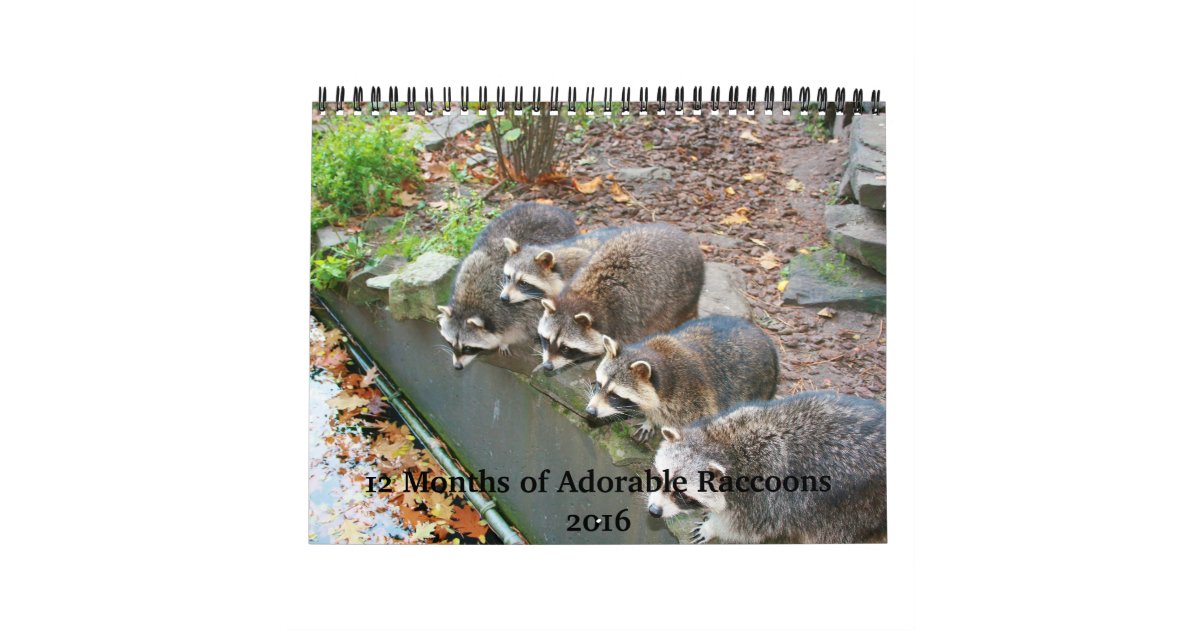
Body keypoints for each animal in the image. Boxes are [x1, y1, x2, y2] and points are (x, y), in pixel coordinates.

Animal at [436, 202, 577, 370]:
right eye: (450, 343)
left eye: (468, 348)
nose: (457, 367)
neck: (469, 305)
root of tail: (548, 206)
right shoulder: (468, 269)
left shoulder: (520, 309)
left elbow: (524, 325)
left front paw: (506, 341)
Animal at [537, 224, 704, 372]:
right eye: (546, 340)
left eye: (566, 348)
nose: (547, 366)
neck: (584, 298)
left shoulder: (626, 319)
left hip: (681, 294)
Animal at [585, 316, 779, 442]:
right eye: (599, 384)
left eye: (615, 395)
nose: (590, 411)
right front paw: (650, 420)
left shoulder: (695, 401)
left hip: (759, 387)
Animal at [647, 391, 886, 544]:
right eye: (661, 476)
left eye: (682, 494)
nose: (653, 511)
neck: (722, 446)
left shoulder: (764, 494)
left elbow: (744, 528)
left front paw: (712, 527)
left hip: (854, 505)